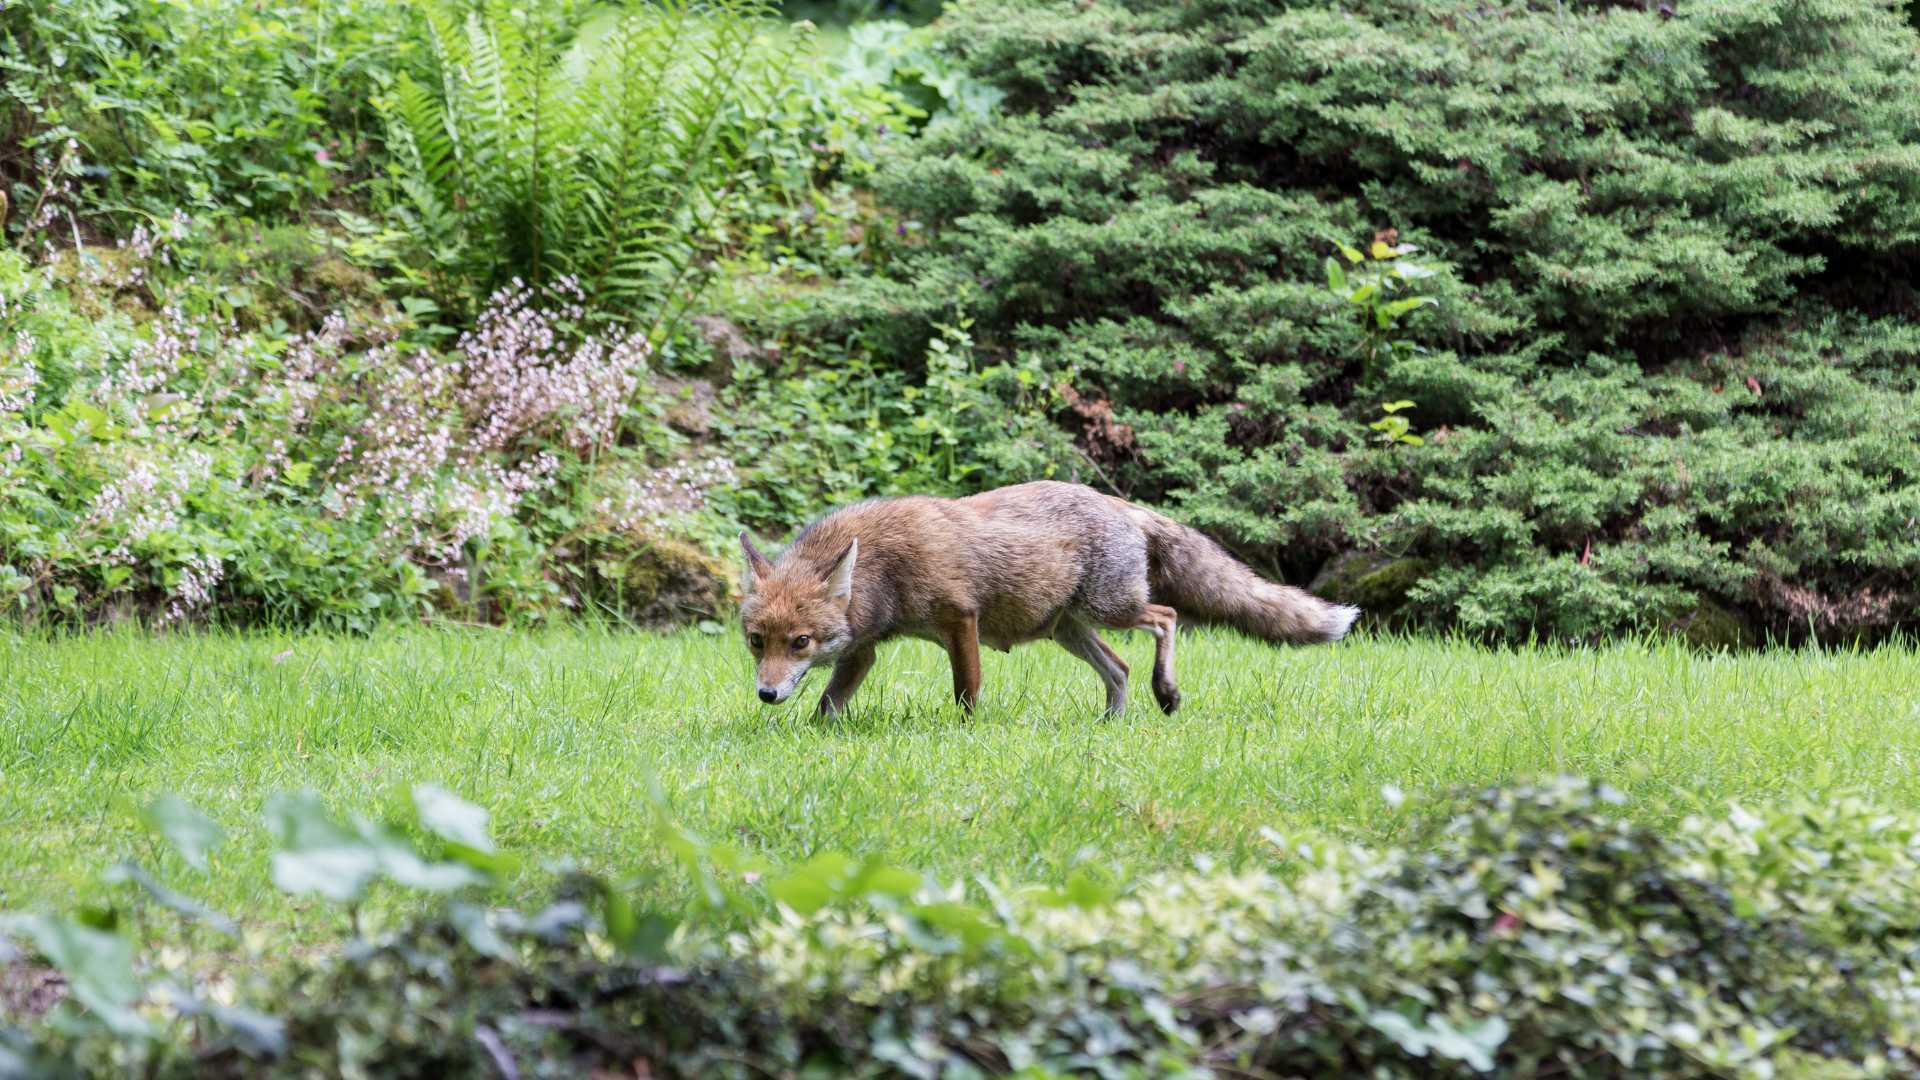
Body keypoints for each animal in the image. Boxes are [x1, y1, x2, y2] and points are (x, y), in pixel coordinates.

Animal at [736, 480, 1360, 718]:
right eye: (756, 641)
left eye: (800, 642)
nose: (765, 694)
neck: (883, 570)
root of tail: (1118, 501)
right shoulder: (862, 649)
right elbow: (827, 705)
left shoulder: (960, 619)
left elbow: (966, 693)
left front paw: (964, 735)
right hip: (1070, 631)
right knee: (1119, 667)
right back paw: (1111, 723)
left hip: (1115, 608)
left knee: (1166, 617)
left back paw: (1166, 691)